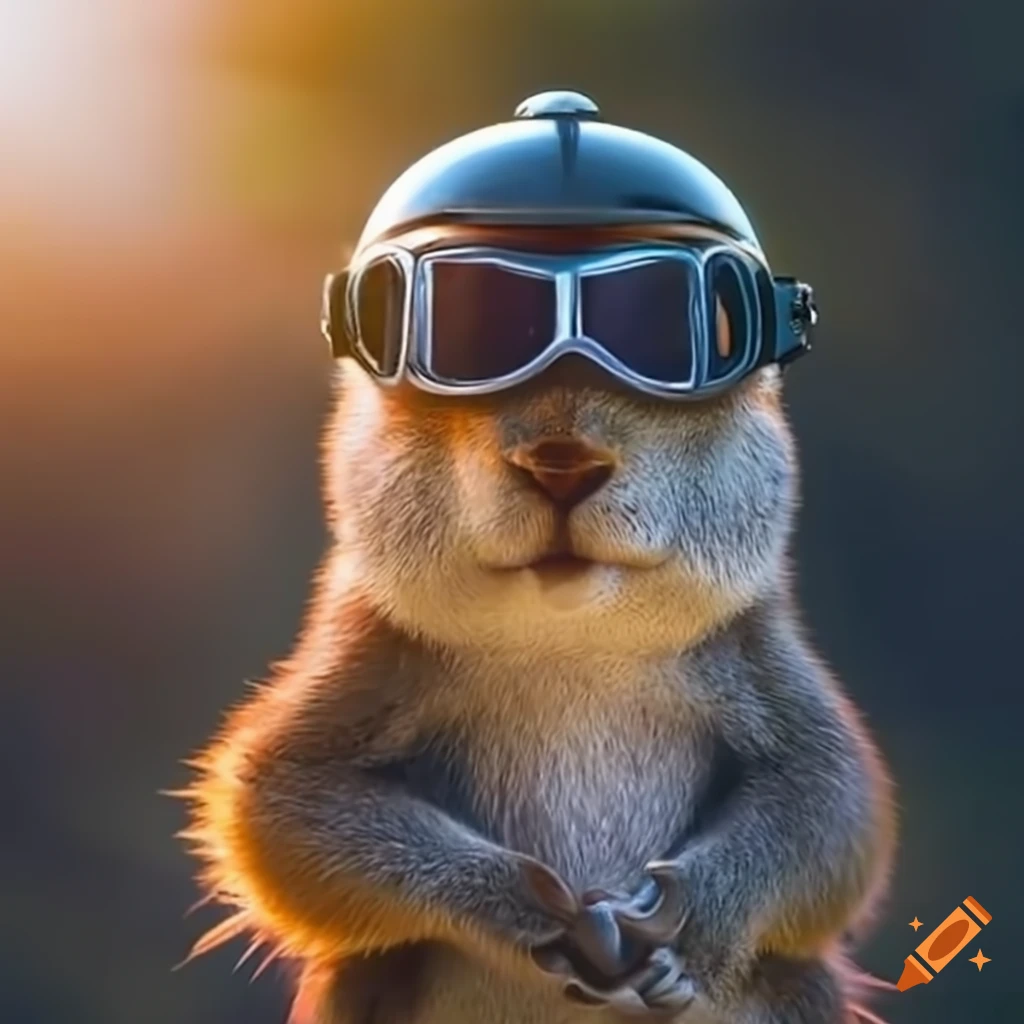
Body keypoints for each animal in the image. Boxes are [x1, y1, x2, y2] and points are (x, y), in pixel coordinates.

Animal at [176, 219, 896, 1022]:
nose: (561, 463)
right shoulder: (370, 656)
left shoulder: (755, 657)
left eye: (661, 328)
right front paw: (540, 907)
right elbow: (280, 802)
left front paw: (675, 927)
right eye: (473, 332)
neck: (567, 637)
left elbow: (833, 806)